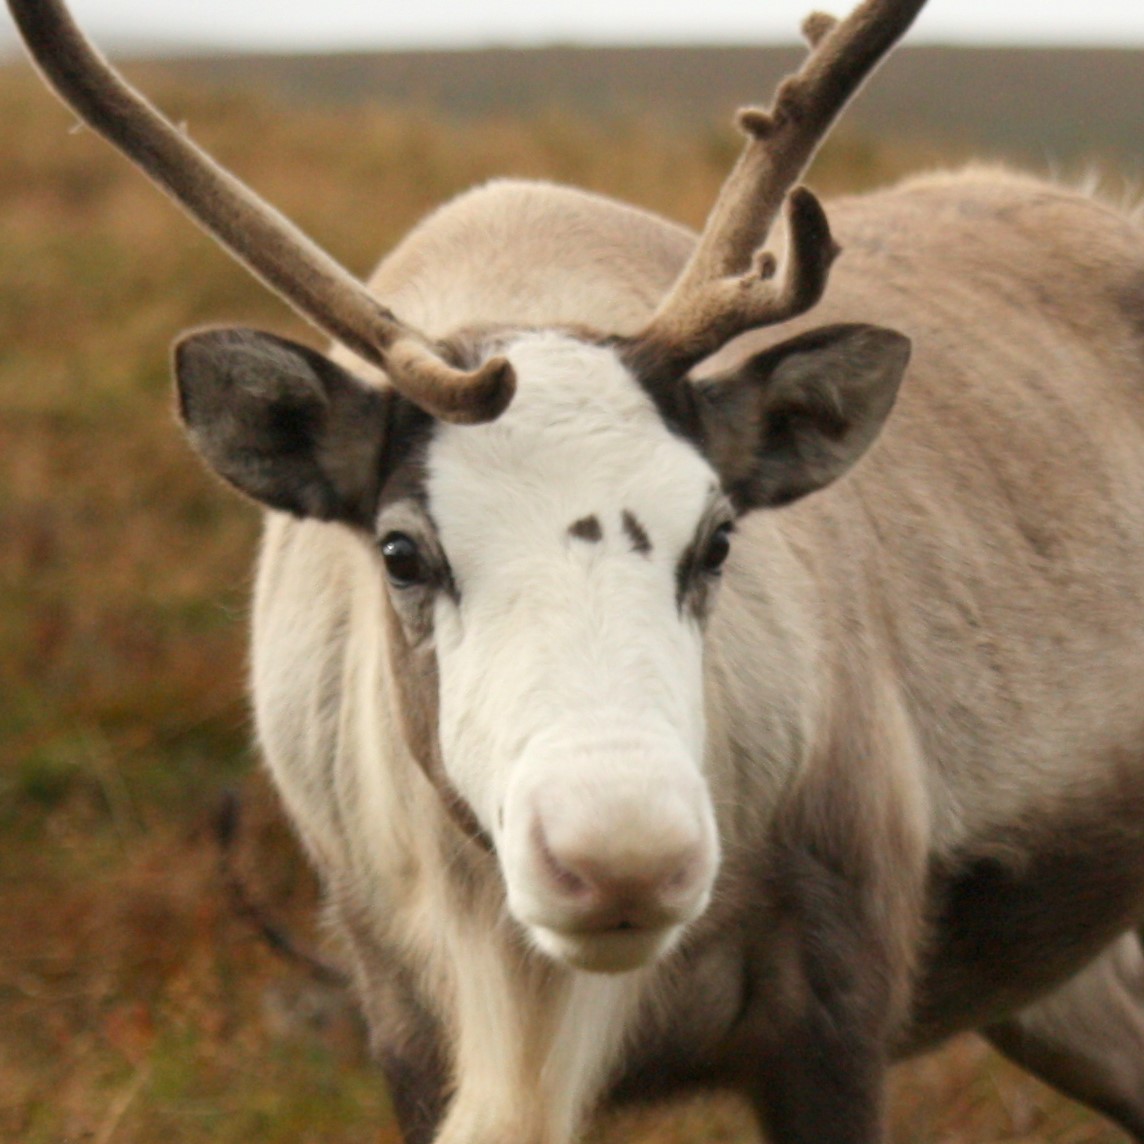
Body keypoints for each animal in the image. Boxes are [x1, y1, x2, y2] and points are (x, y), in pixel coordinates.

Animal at [12, 0, 1144, 1140]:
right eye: (401, 550)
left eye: (719, 536)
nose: (624, 858)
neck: (529, 998)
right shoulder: (404, 1022)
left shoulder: (835, 998)